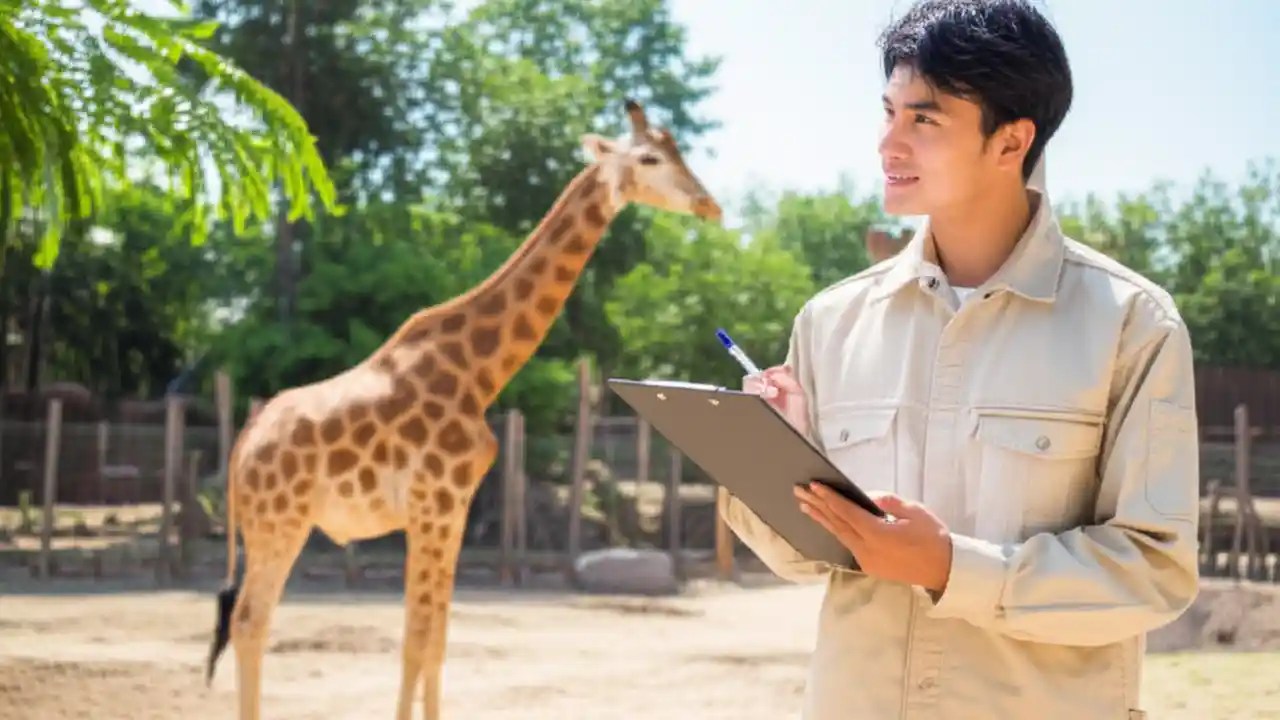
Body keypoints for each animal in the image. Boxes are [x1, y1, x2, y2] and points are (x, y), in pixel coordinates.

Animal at [203, 98, 722, 720]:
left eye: (677, 151)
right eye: (648, 157)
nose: (710, 205)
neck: (478, 376)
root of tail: (243, 445)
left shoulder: (452, 509)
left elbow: (438, 638)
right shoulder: (434, 505)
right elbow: (417, 638)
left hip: (276, 524)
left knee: (248, 620)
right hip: (279, 521)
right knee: (250, 621)